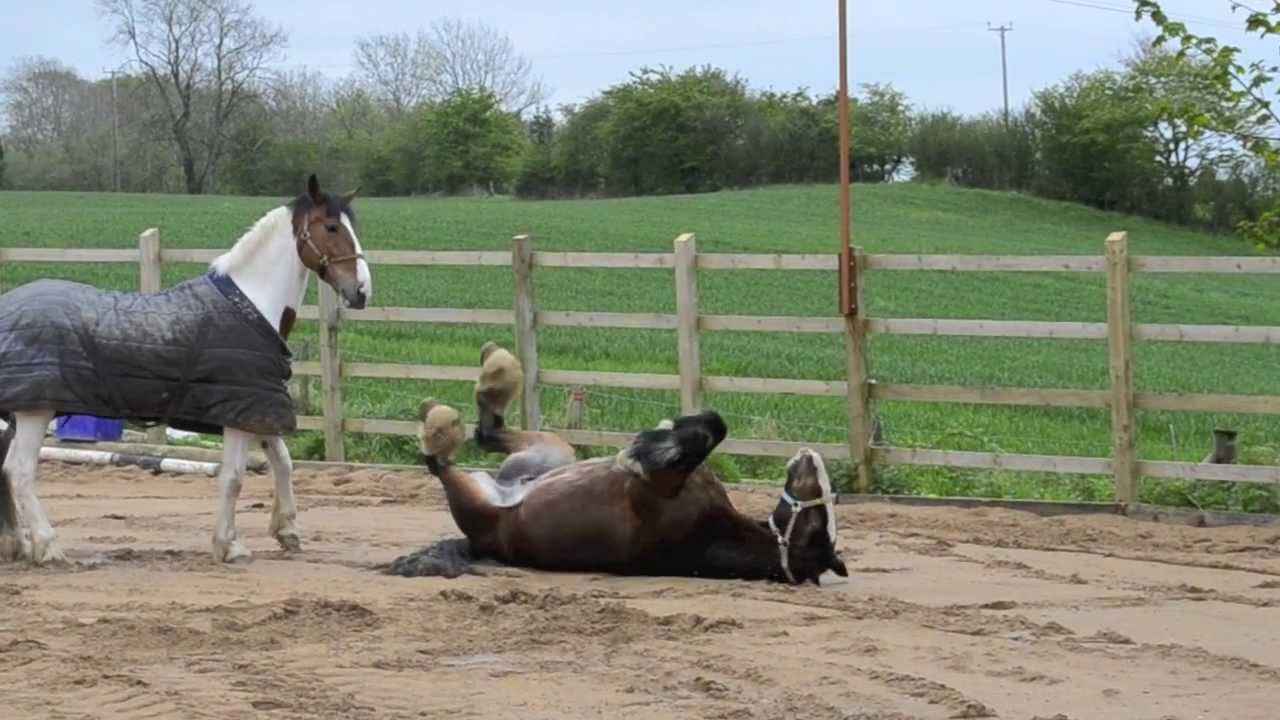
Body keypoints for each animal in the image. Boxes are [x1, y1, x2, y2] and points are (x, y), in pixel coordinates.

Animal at [0, 174, 371, 565]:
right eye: (331, 227)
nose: (361, 291)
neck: (252, 304)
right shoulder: (239, 415)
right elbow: (233, 477)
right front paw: (229, 545)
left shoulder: (257, 408)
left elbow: (283, 462)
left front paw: (286, 530)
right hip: (34, 412)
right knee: (19, 471)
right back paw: (48, 546)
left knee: (4, 469)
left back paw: (17, 543)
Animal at [384, 342, 850, 585]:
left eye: (816, 528)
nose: (809, 457)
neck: (711, 531)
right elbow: (714, 424)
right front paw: (662, 434)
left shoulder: (659, 491)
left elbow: (702, 436)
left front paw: (641, 452)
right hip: (555, 451)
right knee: (487, 430)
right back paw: (495, 371)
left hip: (474, 495)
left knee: (440, 461)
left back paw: (441, 421)